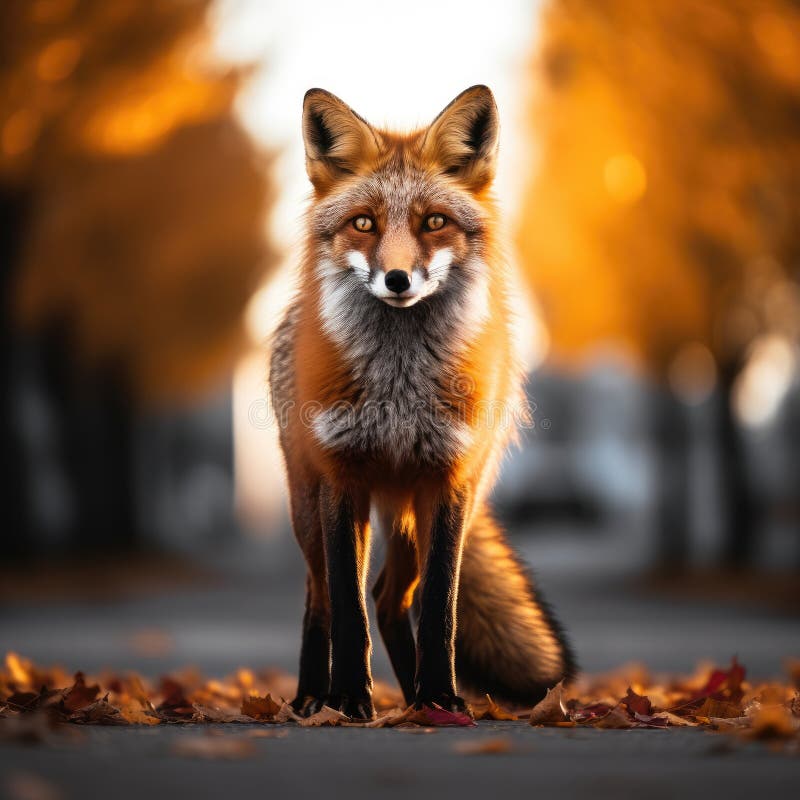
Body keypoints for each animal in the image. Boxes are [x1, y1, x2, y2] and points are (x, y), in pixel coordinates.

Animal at [269, 85, 575, 720]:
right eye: (364, 223)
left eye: (434, 221)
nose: (397, 279)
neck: (399, 387)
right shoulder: (342, 478)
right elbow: (347, 609)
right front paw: (350, 698)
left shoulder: (449, 481)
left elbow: (440, 608)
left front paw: (441, 694)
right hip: (309, 507)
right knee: (323, 597)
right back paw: (314, 697)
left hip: (416, 511)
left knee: (389, 599)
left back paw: (416, 701)